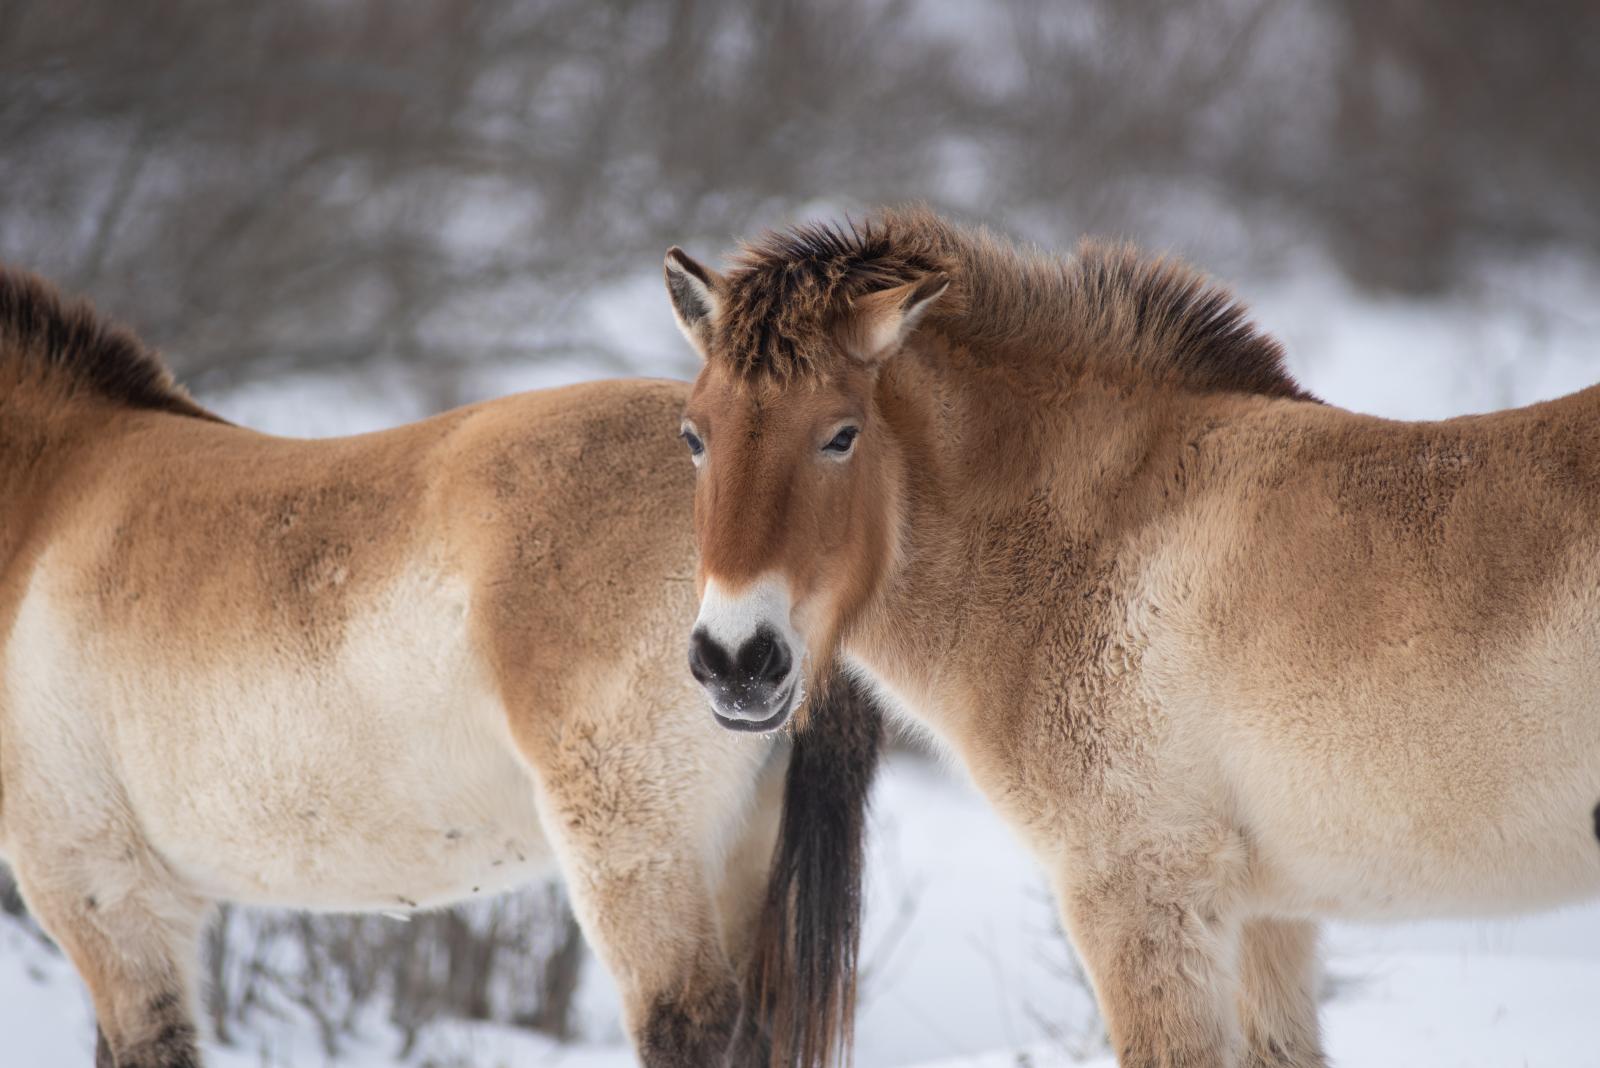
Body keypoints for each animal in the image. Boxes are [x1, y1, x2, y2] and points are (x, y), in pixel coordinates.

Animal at [661, 206, 1600, 1067]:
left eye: (841, 436)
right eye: (694, 436)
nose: (736, 661)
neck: (1099, 541)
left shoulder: (1138, 899)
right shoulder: (1268, 921)